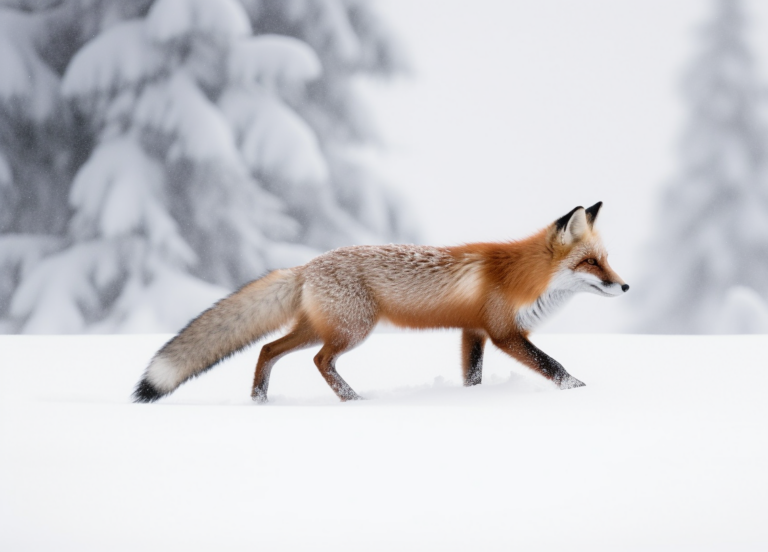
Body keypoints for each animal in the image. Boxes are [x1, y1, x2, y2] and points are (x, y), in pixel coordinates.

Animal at [133, 201, 628, 403]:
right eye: (590, 263)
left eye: (606, 260)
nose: (624, 287)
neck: (522, 278)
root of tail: (306, 266)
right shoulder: (504, 332)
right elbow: (554, 366)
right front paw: (581, 392)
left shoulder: (473, 331)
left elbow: (472, 377)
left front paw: (472, 401)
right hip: (351, 331)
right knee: (319, 361)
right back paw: (353, 401)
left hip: (319, 327)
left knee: (268, 350)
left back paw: (259, 401)